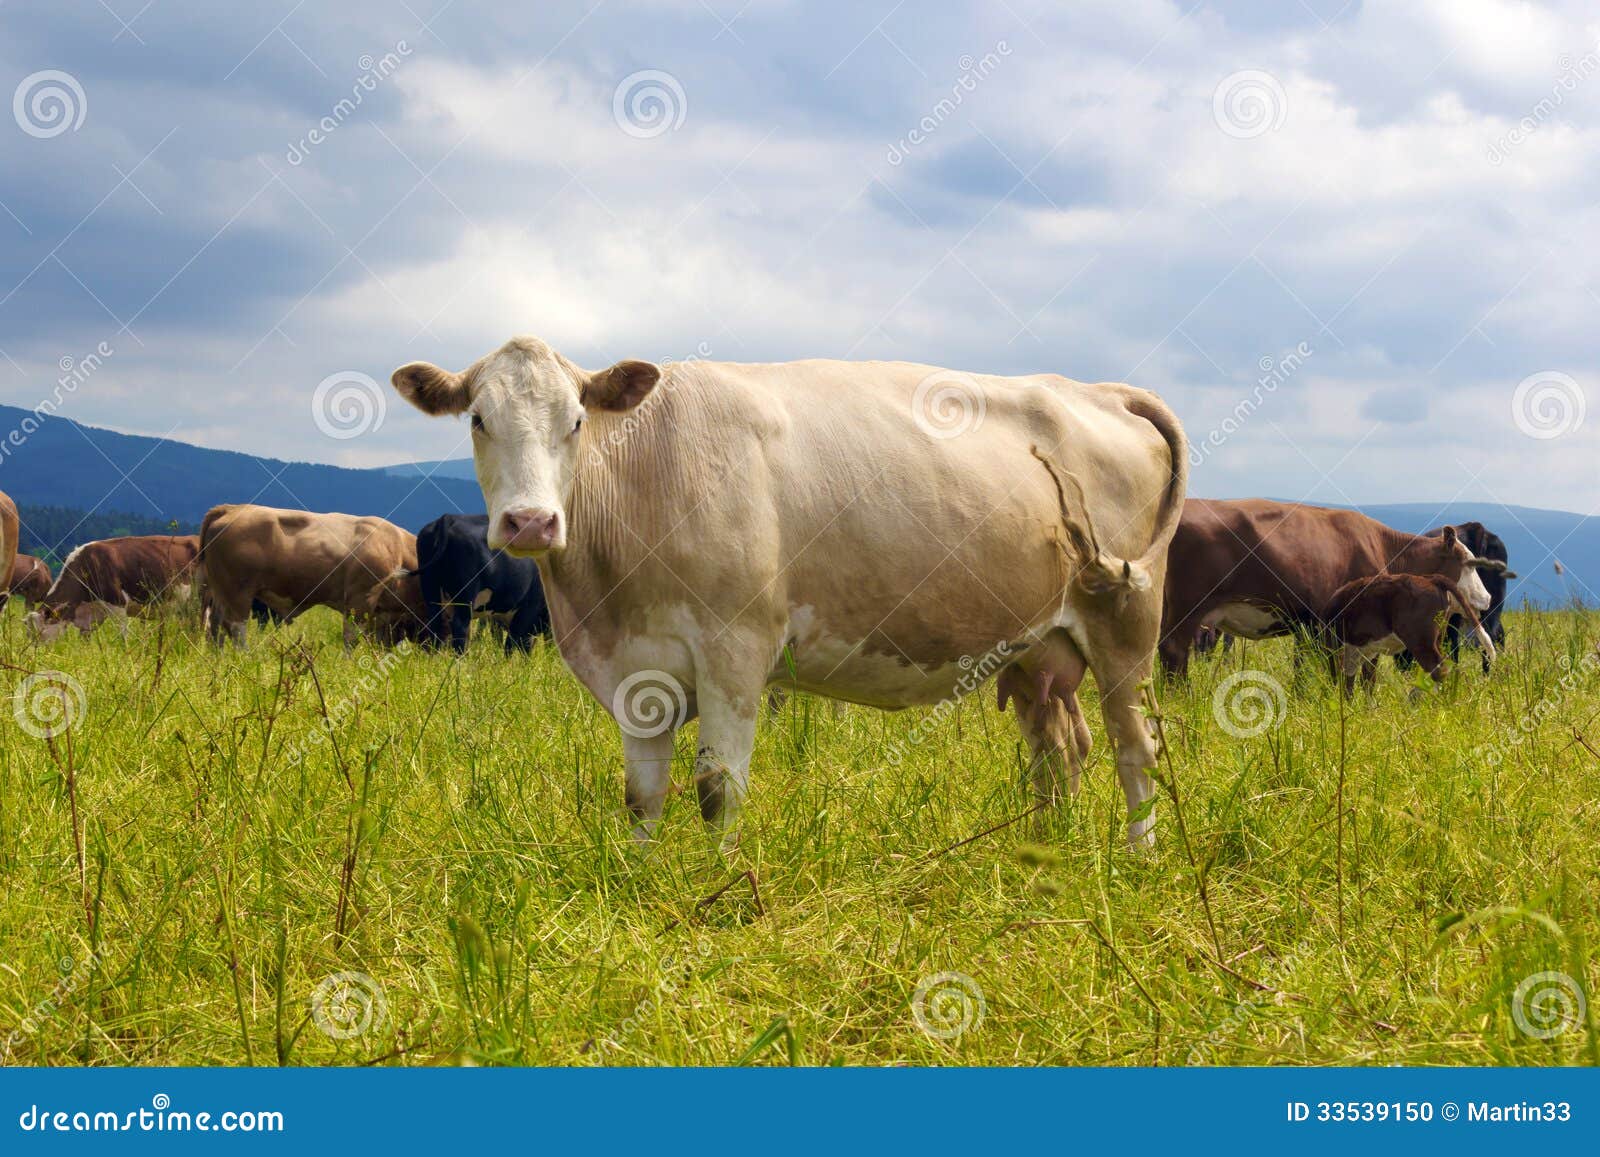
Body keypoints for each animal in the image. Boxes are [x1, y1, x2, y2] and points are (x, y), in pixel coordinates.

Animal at [198, 504, 426, 648]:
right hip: (238, 593)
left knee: (216, 625)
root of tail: (232, 508)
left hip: (221, 592)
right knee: (236, 628)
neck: (396, 549)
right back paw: (245, 656)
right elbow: (351, 638)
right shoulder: (360, 600)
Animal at [411, 513, 550, 653]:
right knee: (460, 626)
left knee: (435, 624)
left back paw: (435, 655)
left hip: (431, 589)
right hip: (466, 596)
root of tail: (450, 517)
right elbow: (515, 643)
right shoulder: (529, 608)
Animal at [1325, 573, 1494, 696]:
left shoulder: (1337, 648)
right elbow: (1364, 682)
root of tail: (1431, 579)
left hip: (1420, 641)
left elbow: (1343, 680)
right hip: (1437, 638)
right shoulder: (1367, 652)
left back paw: (1416, 699)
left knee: (1438, 669)